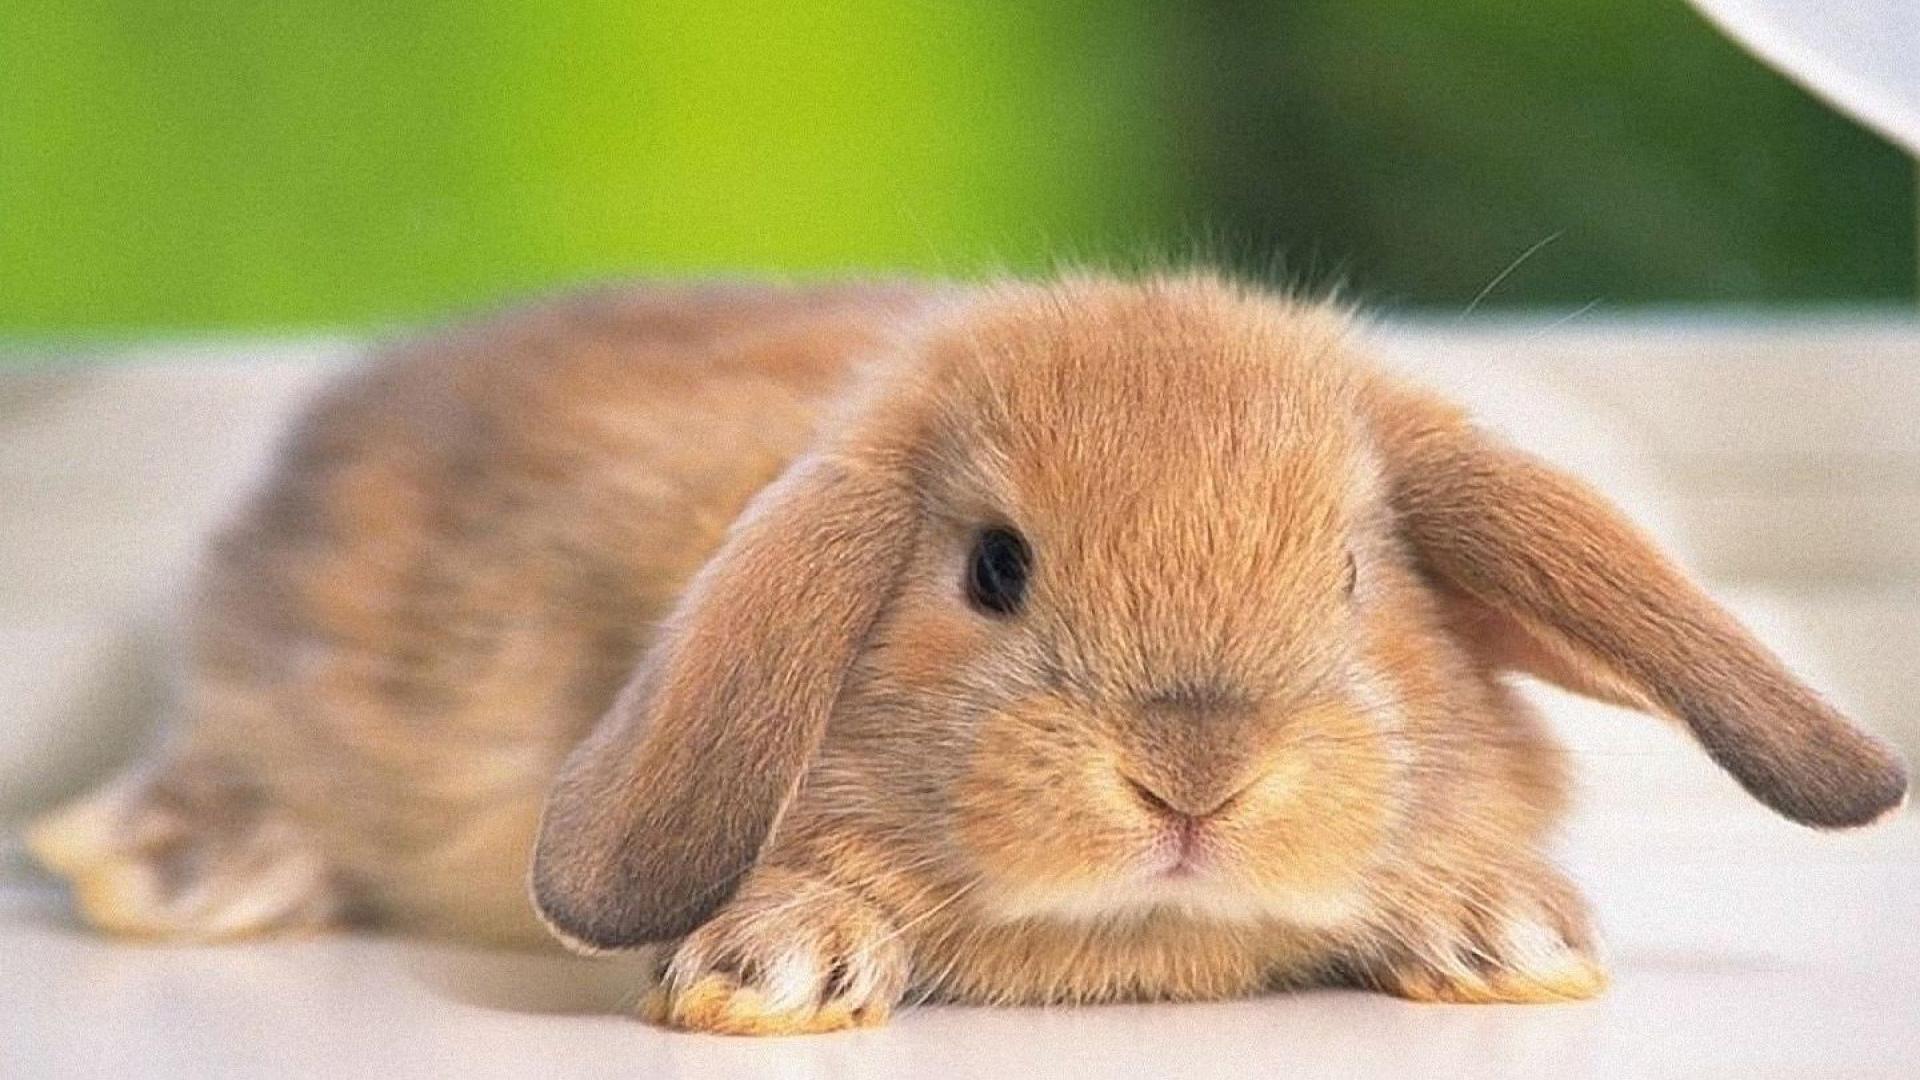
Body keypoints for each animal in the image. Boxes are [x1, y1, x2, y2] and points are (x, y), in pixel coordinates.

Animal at [26, 273, 1907, 1036]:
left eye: (1356, 572)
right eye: (994, 569)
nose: (1196, 774)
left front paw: (1501, 928)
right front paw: (779, 968)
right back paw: (181, 862)